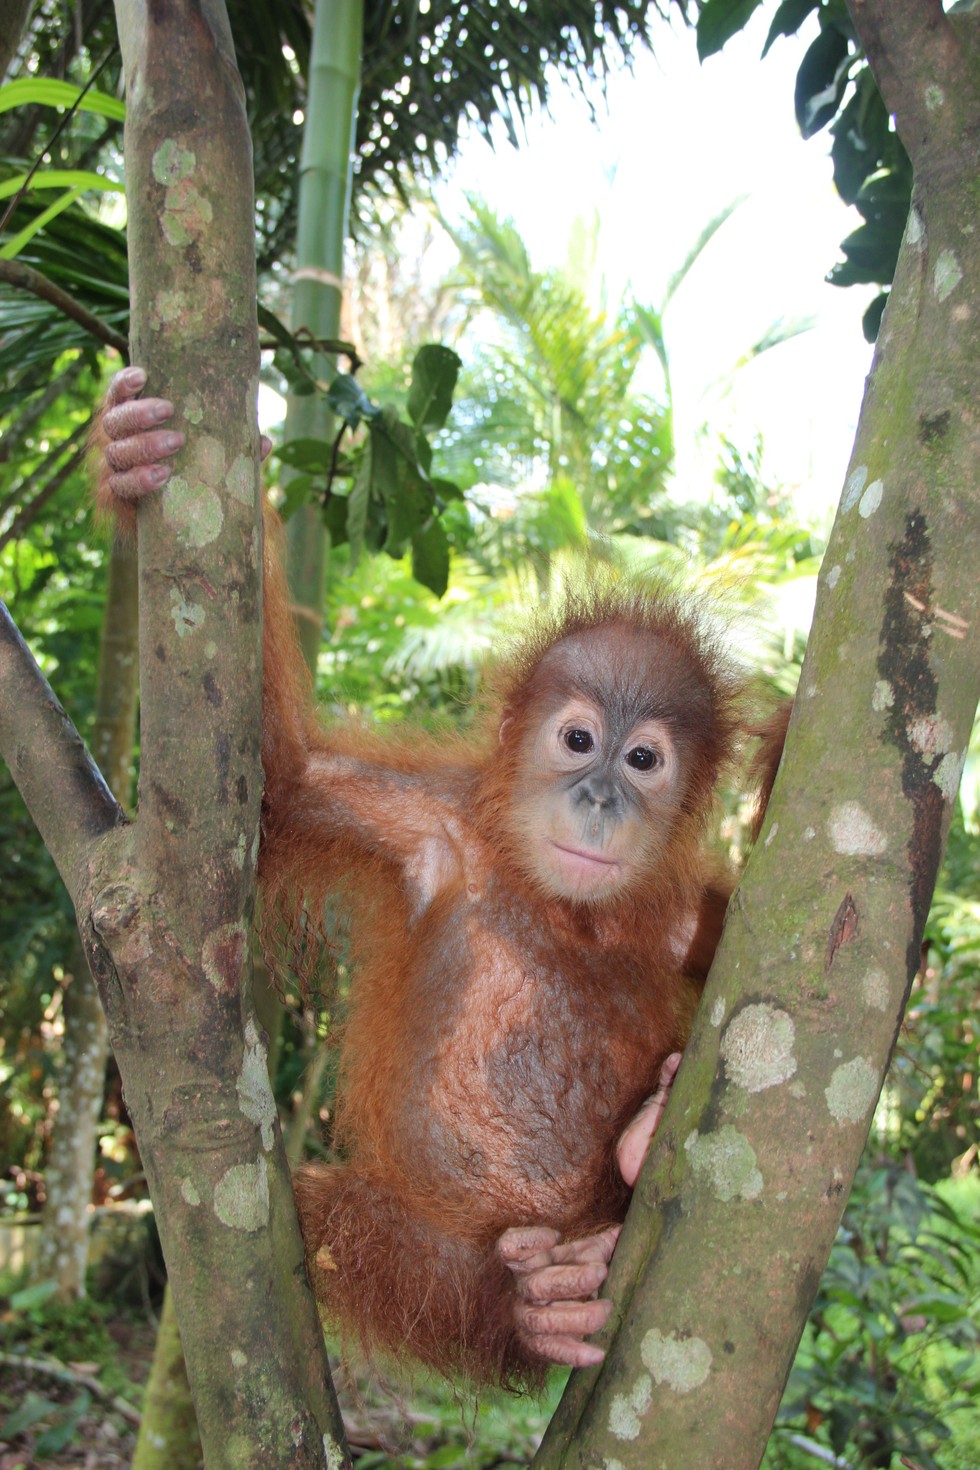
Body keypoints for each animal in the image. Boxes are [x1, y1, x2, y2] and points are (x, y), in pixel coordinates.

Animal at [96, 366, 779, 1387]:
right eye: (578, 739)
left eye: (645, 760)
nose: (601, 799)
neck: (556, 901)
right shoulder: (423, 827)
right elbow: (276, 782)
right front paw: (130, 454)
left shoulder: (679, 913)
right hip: (439, 1258)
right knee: (356, 1235)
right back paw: (536, 1303)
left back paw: (630, 1158)